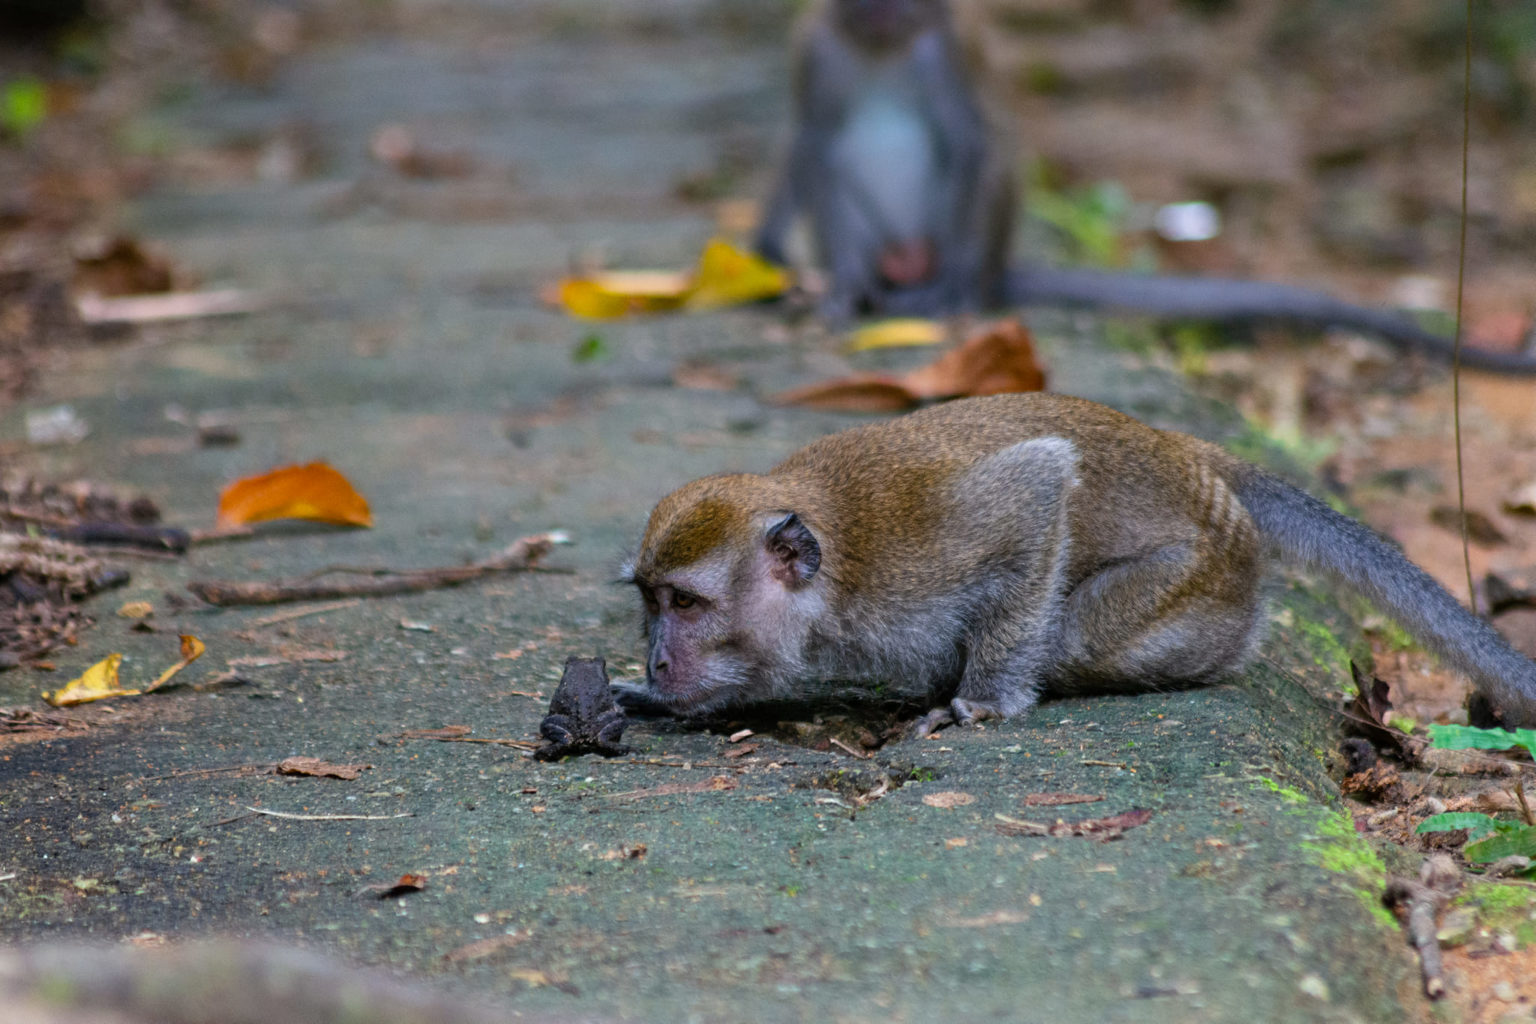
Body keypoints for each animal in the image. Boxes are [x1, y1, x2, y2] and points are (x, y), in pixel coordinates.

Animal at [618, 393, 1536, 735]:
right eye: (652, 602)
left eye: (688, 604)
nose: (661, 661)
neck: (833, 580)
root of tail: (1200, 460)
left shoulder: (914, 558)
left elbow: (1039, 485)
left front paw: (982, 702)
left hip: (1194, 582)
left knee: (1077, 635)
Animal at [754, 0, 1536, 374]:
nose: (883, 6)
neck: (881, 42)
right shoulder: (814, 48)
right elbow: (811, 143)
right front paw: (818, 274)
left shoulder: (948, 47)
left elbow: (978, 140)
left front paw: (952, 291)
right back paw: (865, 283)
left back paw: (948, 284)